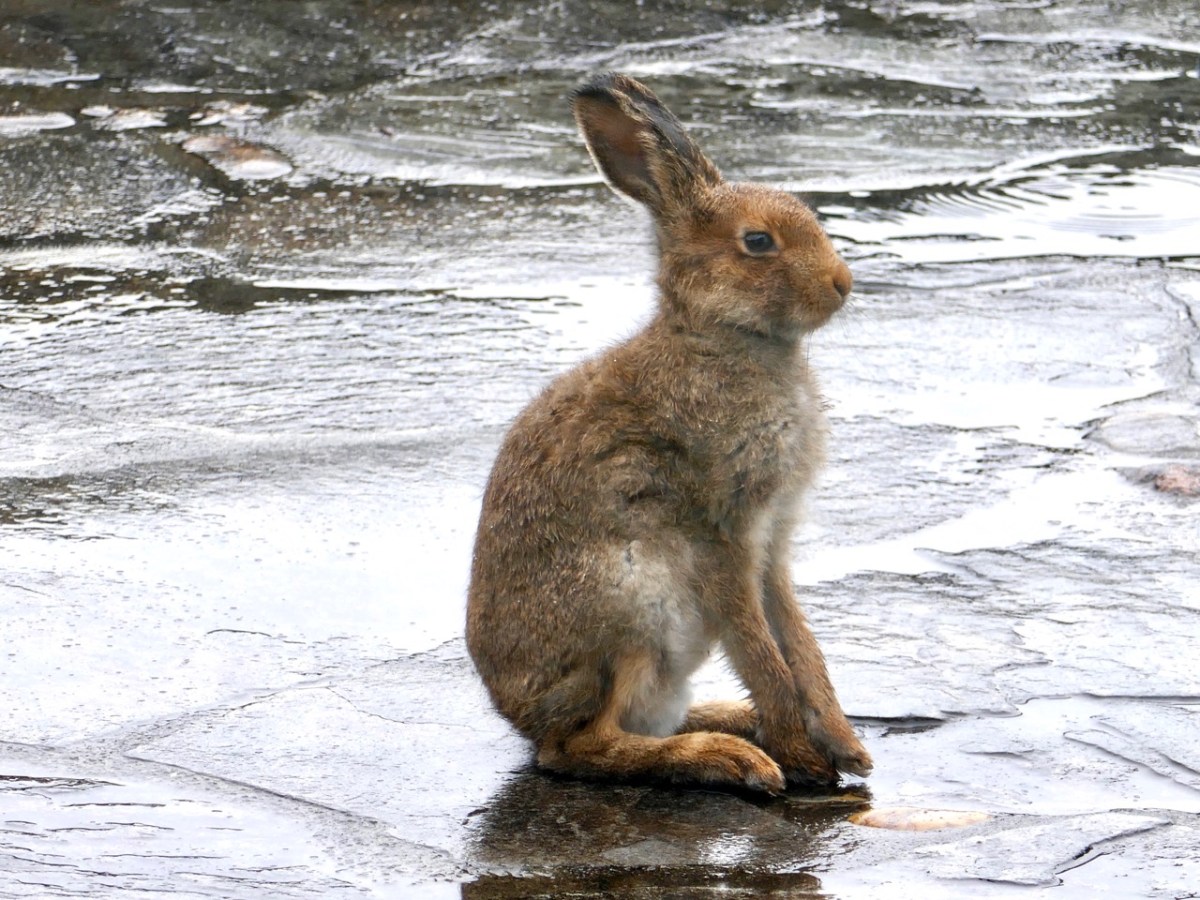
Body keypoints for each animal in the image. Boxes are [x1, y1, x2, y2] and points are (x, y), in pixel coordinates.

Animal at [466, 72, 871, 793]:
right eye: (758, 242)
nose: (841, 284)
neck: (724, 338)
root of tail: (520, 716)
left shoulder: (773, 542)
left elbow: (798, 641)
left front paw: (846, 745)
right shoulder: (724, 532)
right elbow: (761, 648)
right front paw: (800, 756)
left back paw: (734, 725)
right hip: (632, 613)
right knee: (582, 748)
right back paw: (732, 757)